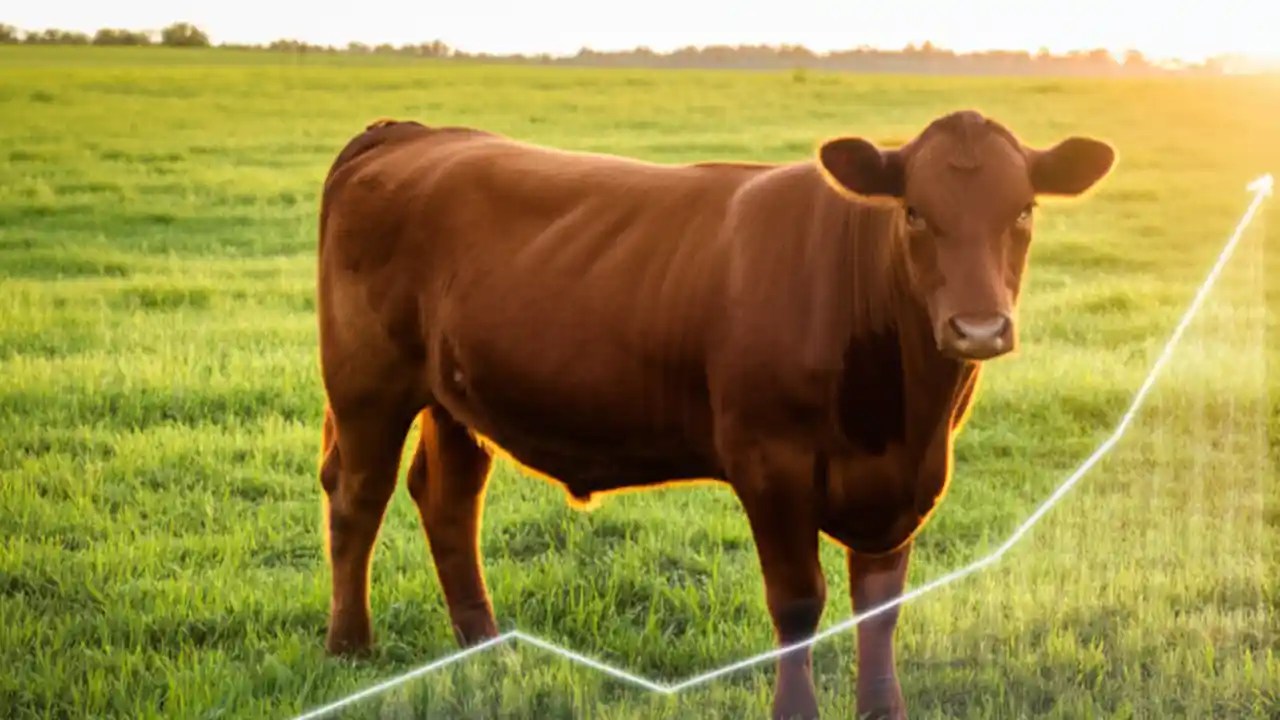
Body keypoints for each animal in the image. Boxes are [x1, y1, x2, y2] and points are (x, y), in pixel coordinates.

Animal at [315, 110, 1115, 720]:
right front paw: (795, 711)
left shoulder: (903, 482)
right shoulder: (770, 462)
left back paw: (482, 644)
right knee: (359, 497)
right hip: (366, 382)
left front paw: (882, 710)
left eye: (1023, 211)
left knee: (449, 499)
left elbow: (880, 605)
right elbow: (797, 601)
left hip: (455, 398)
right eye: (915, 211)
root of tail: (412, 133)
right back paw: (350, 646)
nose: (979, 328)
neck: (902, 413)